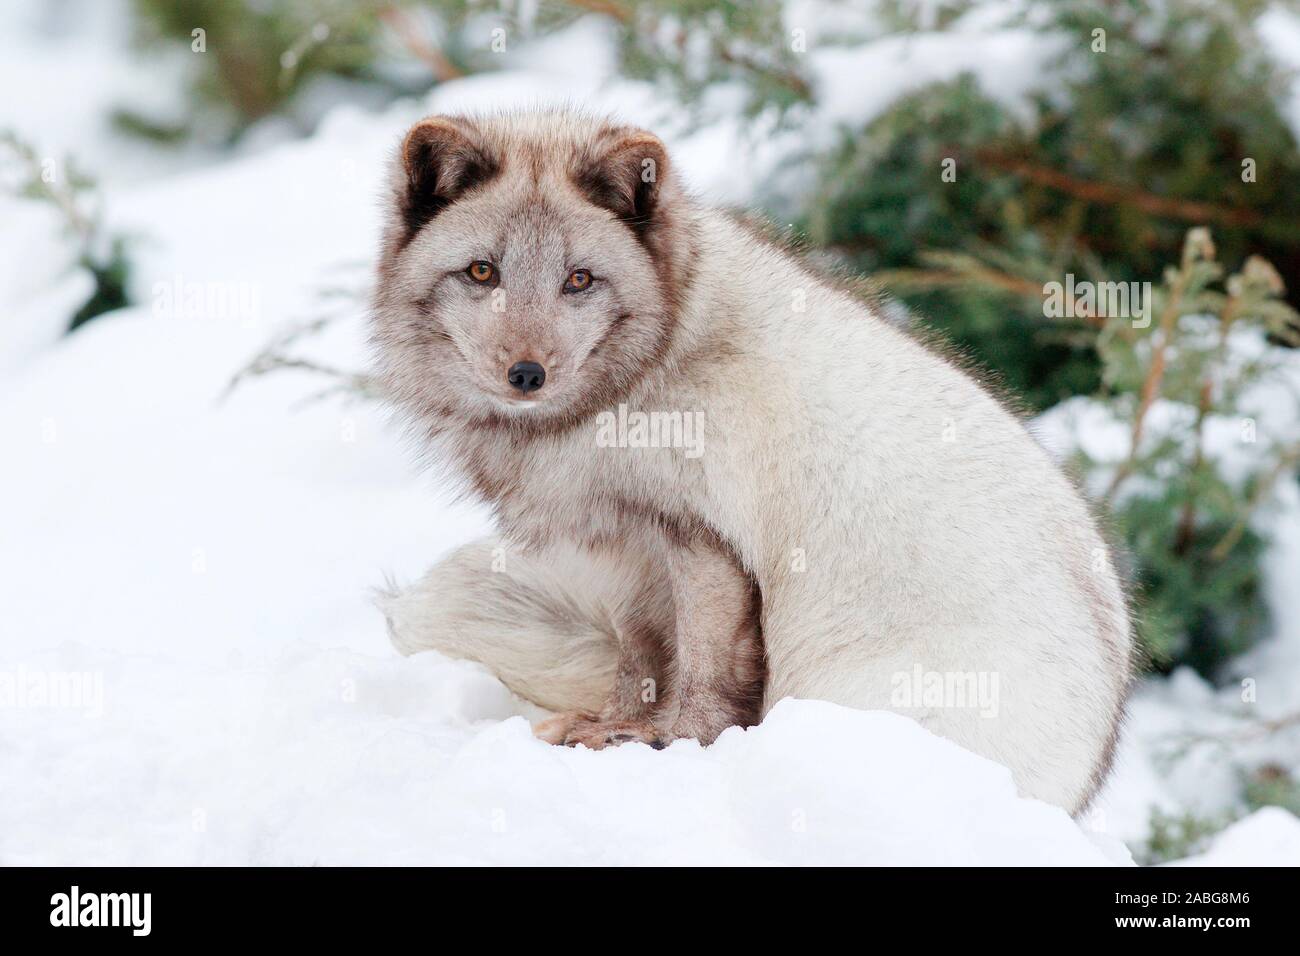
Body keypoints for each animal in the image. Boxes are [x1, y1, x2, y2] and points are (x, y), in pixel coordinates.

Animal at [370, 109, 1133, 813]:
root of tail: (1080, 783)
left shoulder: (706, 539)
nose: (526, 374)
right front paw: (619, 727)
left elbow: (706, 671)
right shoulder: (623, 553)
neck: (644, 375)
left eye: (579, 280)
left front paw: (670, 744)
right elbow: (642, 664)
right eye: (482, 272)